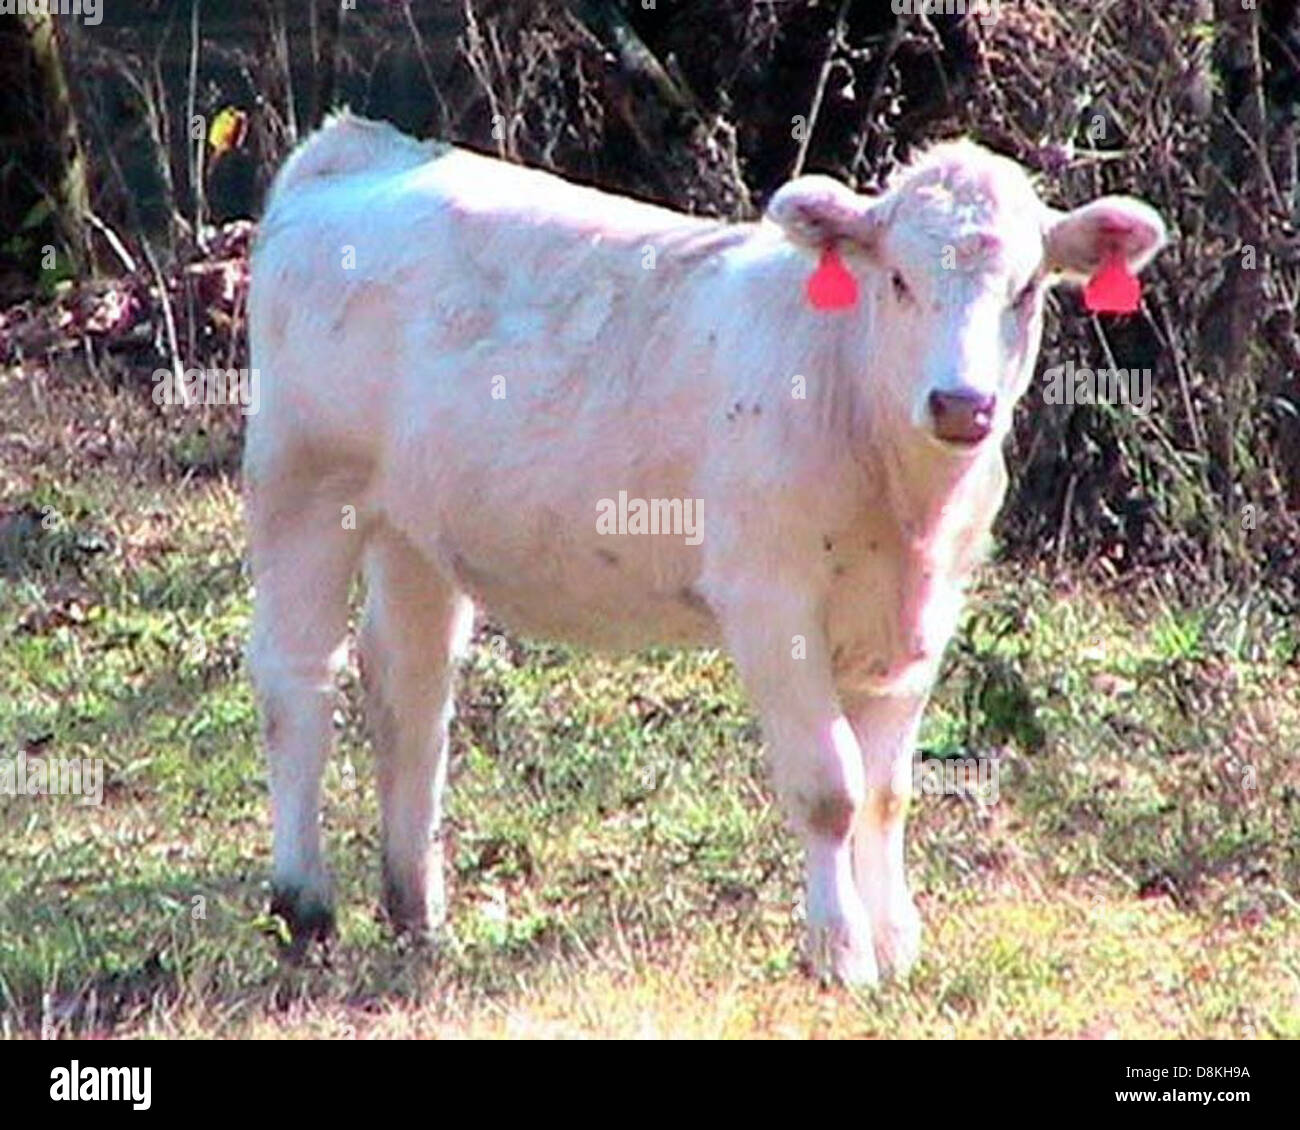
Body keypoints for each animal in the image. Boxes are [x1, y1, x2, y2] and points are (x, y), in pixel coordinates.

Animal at [246, 112, 1166, 983]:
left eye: (1026, 290)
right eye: (899, 279)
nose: (961, 403)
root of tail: (357, 147)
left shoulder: (923, 619)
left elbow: (886, 793)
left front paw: (896, 941)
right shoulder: (768, 600)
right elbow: (831, 788)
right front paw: (839, 953)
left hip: (415, 525)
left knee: (411, 687)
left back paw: (416, 911)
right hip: (303, 478)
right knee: (299, 678)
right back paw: (305, 907)